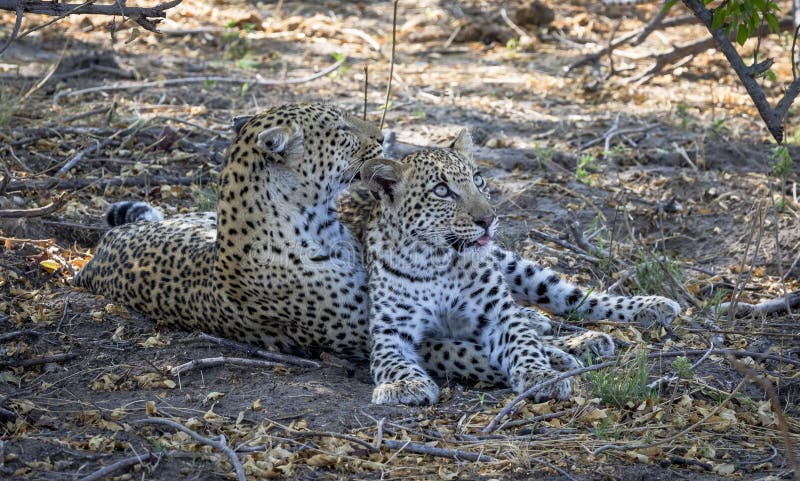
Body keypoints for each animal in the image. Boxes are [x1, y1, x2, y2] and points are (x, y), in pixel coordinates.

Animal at [73, 103, 681, 397]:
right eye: (342, 129)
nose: (384, 133)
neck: (317, 226)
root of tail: (96, 256)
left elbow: (512, 326)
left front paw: (560, 349)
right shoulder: (362, 331)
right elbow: (463, 352)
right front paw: (556, 358)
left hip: (508, 260)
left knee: (561, 295)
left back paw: (642, 311)